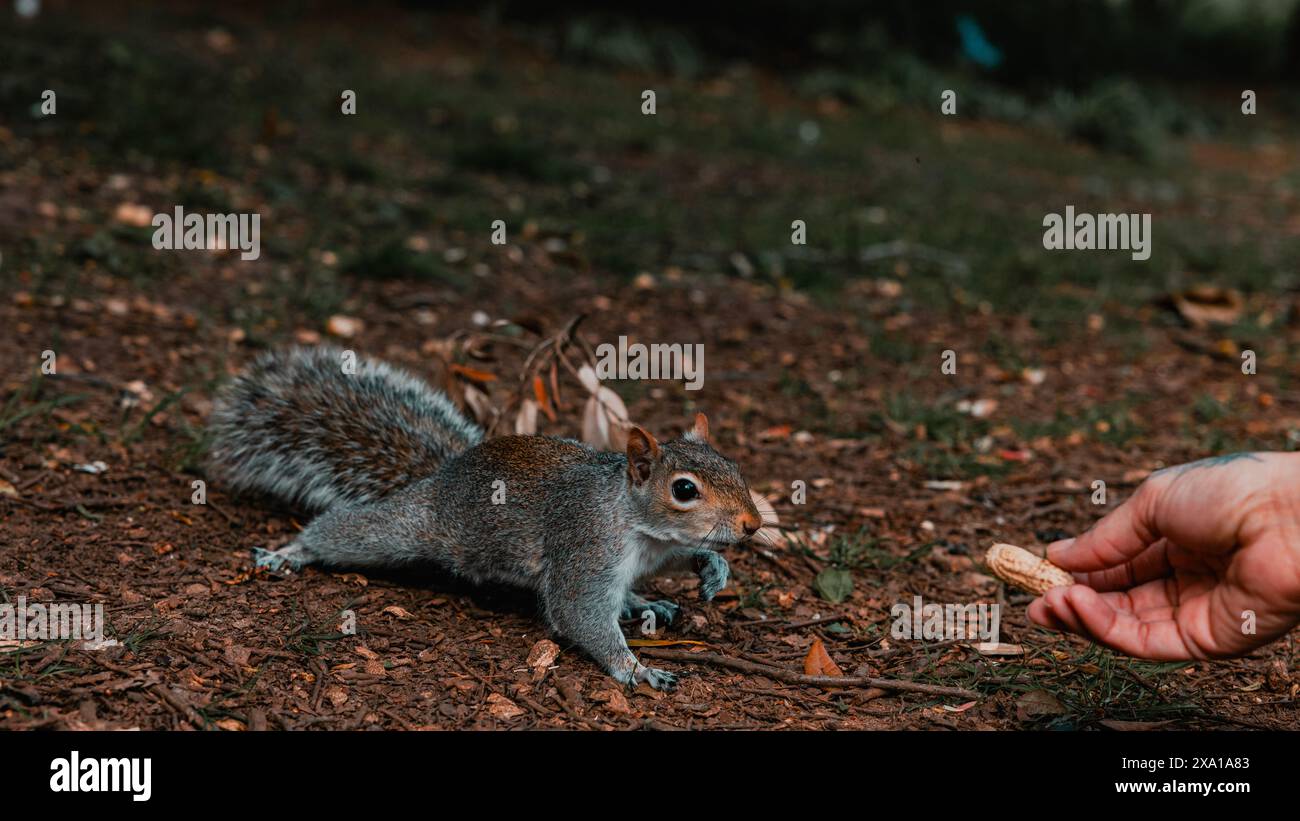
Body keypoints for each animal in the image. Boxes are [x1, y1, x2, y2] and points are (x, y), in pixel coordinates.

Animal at [207, 345, 763, 690]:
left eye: (735, 466)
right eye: (684, 490)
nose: (752, 525)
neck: (638, 524)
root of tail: (439, 476)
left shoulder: (654, 550)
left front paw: (712, 567)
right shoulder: (585, 546)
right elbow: (578, 612)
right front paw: (636, 668)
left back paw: (644, 602)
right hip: (413, 528)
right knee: (346, 532)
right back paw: (289, 552)